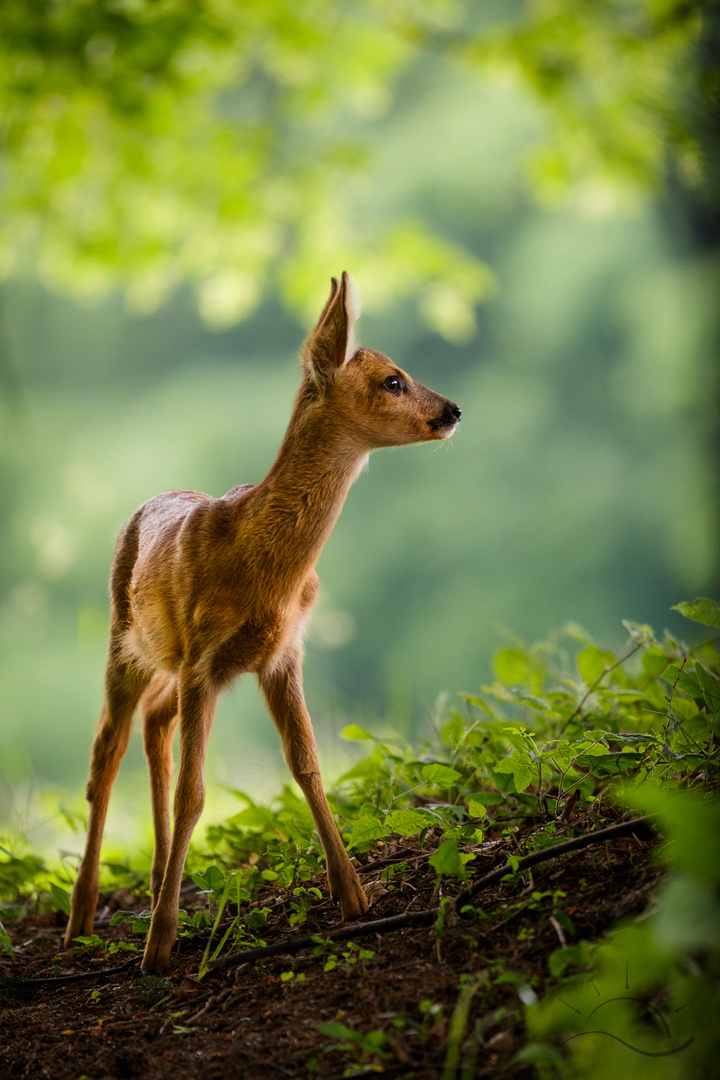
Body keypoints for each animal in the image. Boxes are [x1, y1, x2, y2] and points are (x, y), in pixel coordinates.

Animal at [64, 272, 461, 972]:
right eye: (392, 379)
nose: (454, 411)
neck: (262, 565)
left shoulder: (281, 654)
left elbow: (306, 763)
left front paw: (352, 893)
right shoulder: (204, 658)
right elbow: (196, 792)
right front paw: (159, 945)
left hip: (171, 661)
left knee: (154, 725)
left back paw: (160, 874)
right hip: (124, 643)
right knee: (104, 756)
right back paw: (82, 915)